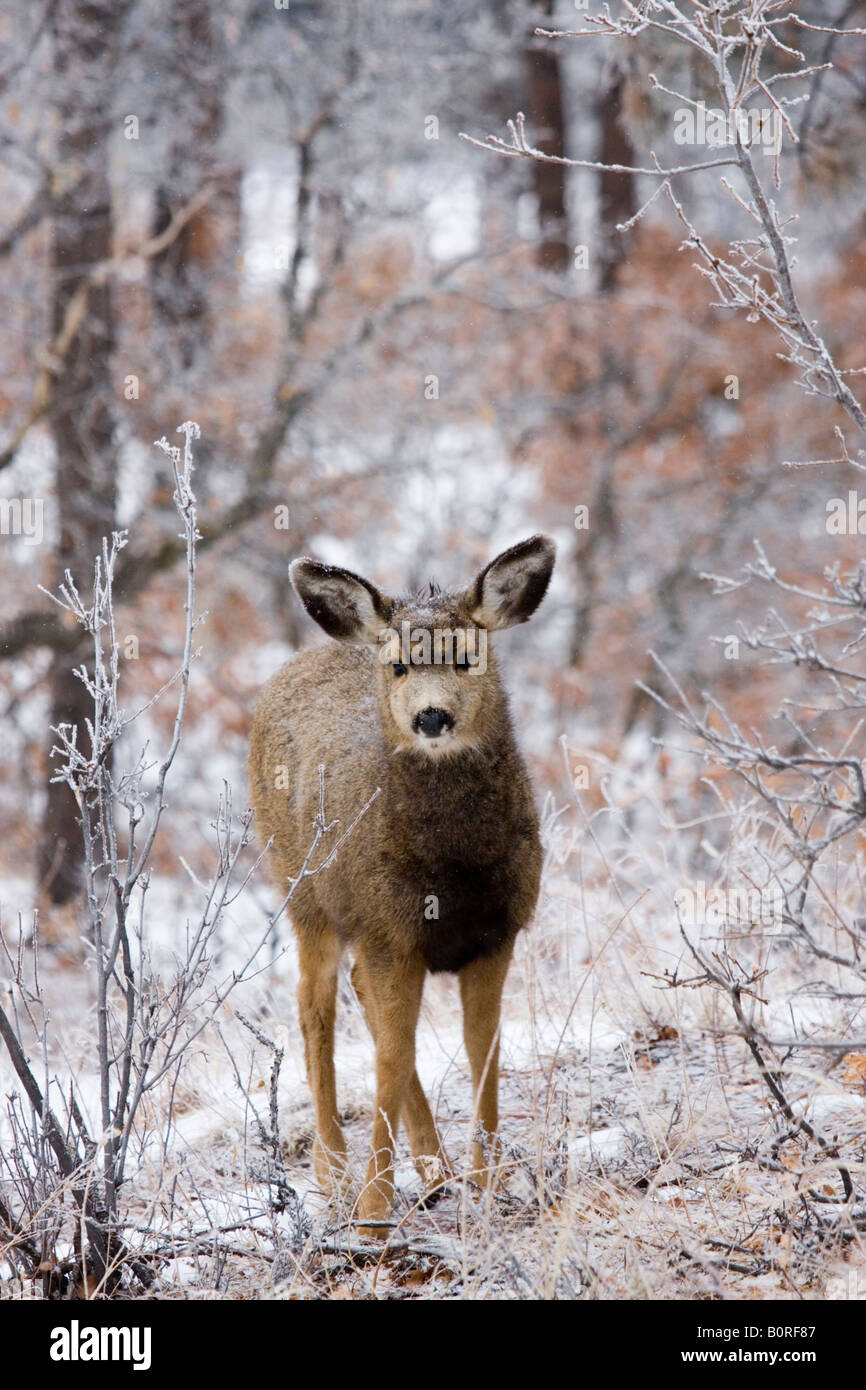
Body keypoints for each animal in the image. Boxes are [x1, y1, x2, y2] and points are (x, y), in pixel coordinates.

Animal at [247, 534, 556, 1235]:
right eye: (397, 668)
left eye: (467, 657)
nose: (432, 717)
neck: (452, 869)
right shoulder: (388, 928)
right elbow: (387, 1059)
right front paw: (373, 1214)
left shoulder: (496, 934)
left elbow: (482, 1051)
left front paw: (486, 1185)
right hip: (303, 889)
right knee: (316, 1006)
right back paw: (335, 1172)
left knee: (365, 1000)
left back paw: (436, 1170)